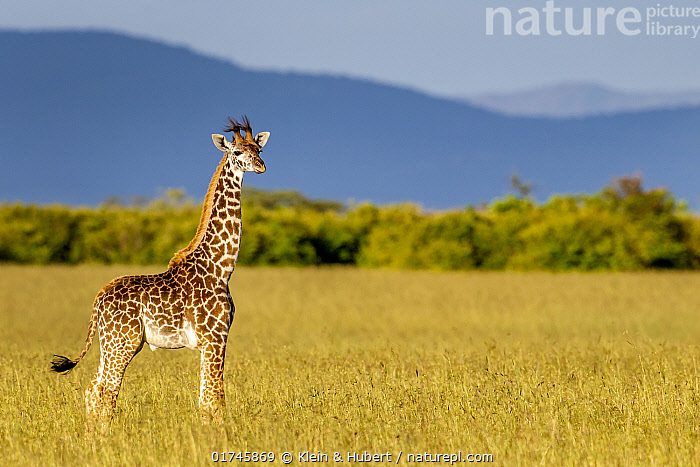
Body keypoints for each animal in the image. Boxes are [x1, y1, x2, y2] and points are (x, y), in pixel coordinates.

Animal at [50, 116, 269, 432]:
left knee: (93, 389)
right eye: (237, 152)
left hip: (109, 343)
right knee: (106, 391)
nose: (261, 166)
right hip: (123, 342)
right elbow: (214, 398)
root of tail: (97, 302)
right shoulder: (215, 337)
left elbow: (206, 398)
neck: (221, 267)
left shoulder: (211, 341)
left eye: (259, 149)